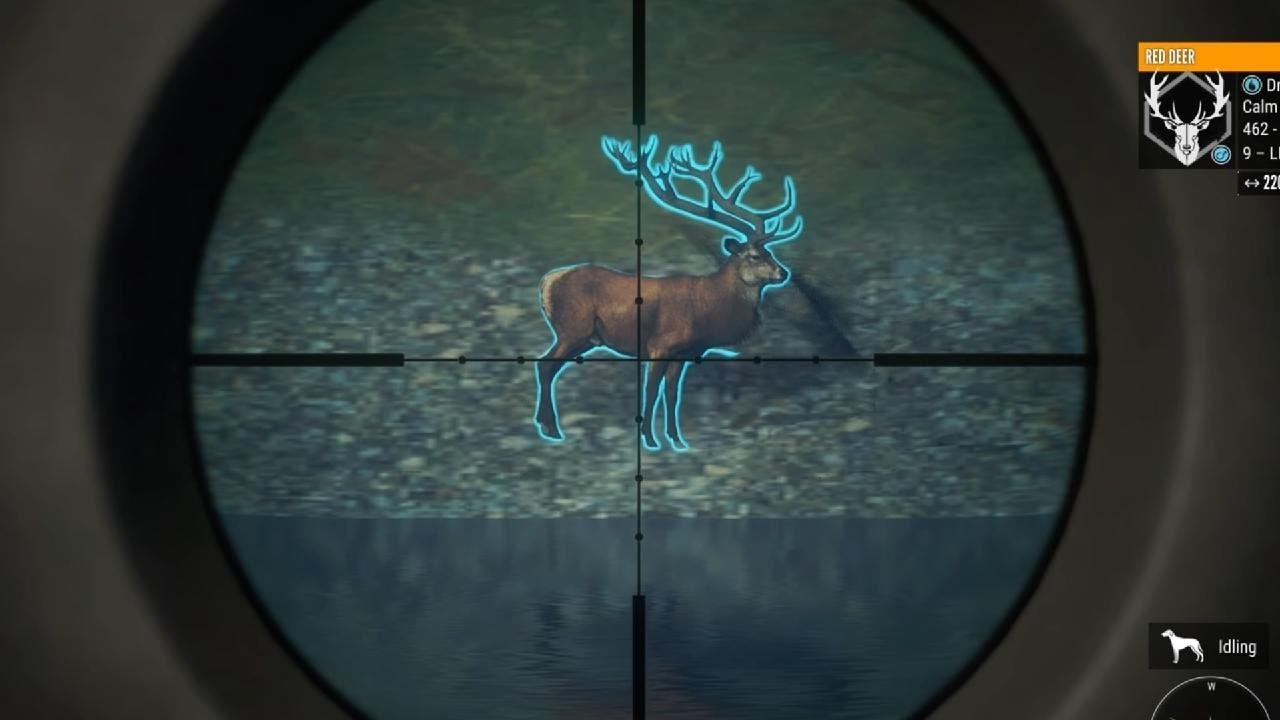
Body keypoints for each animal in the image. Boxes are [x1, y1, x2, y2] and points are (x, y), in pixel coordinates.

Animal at [532, 135, 803, 451]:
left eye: (770, 252)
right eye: (754, 256)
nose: (783, 273)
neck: (709, 310)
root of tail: (548, 281)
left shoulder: (684, 353)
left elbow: (672, 394)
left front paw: (676, 439)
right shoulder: (659, 345)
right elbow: (651, 391)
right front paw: (650, 439)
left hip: (586, 338)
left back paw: (547, 425)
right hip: (574, 328)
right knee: (544, 365)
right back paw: (551, 429)